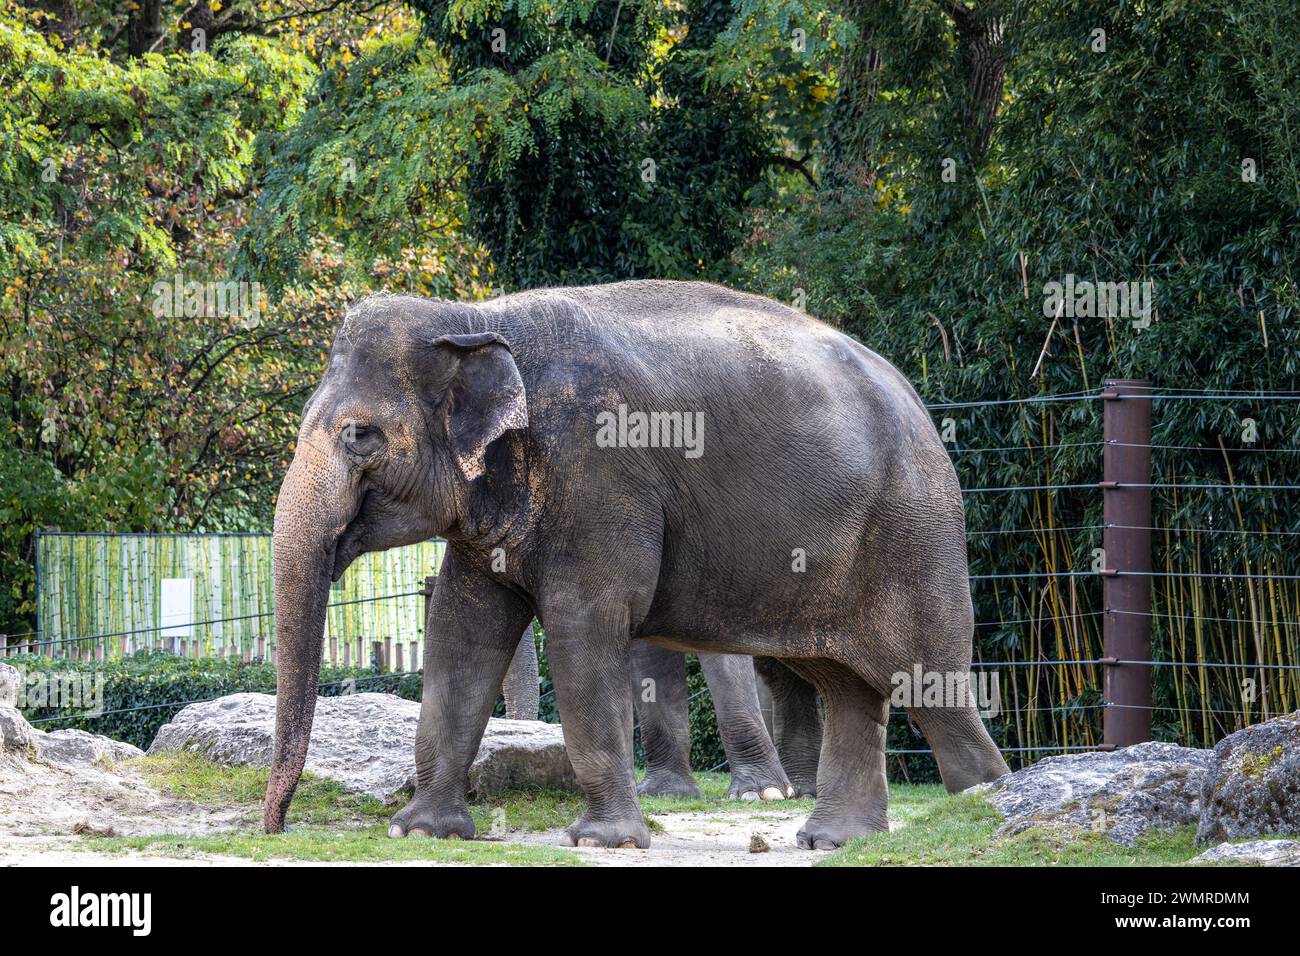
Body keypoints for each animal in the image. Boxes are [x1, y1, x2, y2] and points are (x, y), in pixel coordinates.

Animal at [263, 280, 1009, 850]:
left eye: (360, 435)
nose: (276, 827)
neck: (475, 316)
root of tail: (921, 406)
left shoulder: (600, 472)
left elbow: (581, 630)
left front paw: (602, 841)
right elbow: (460, 633)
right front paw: (420, 831)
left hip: (914, 533)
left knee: (928, 682)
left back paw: (989, 806)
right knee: (848, 687)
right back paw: (834, 840)